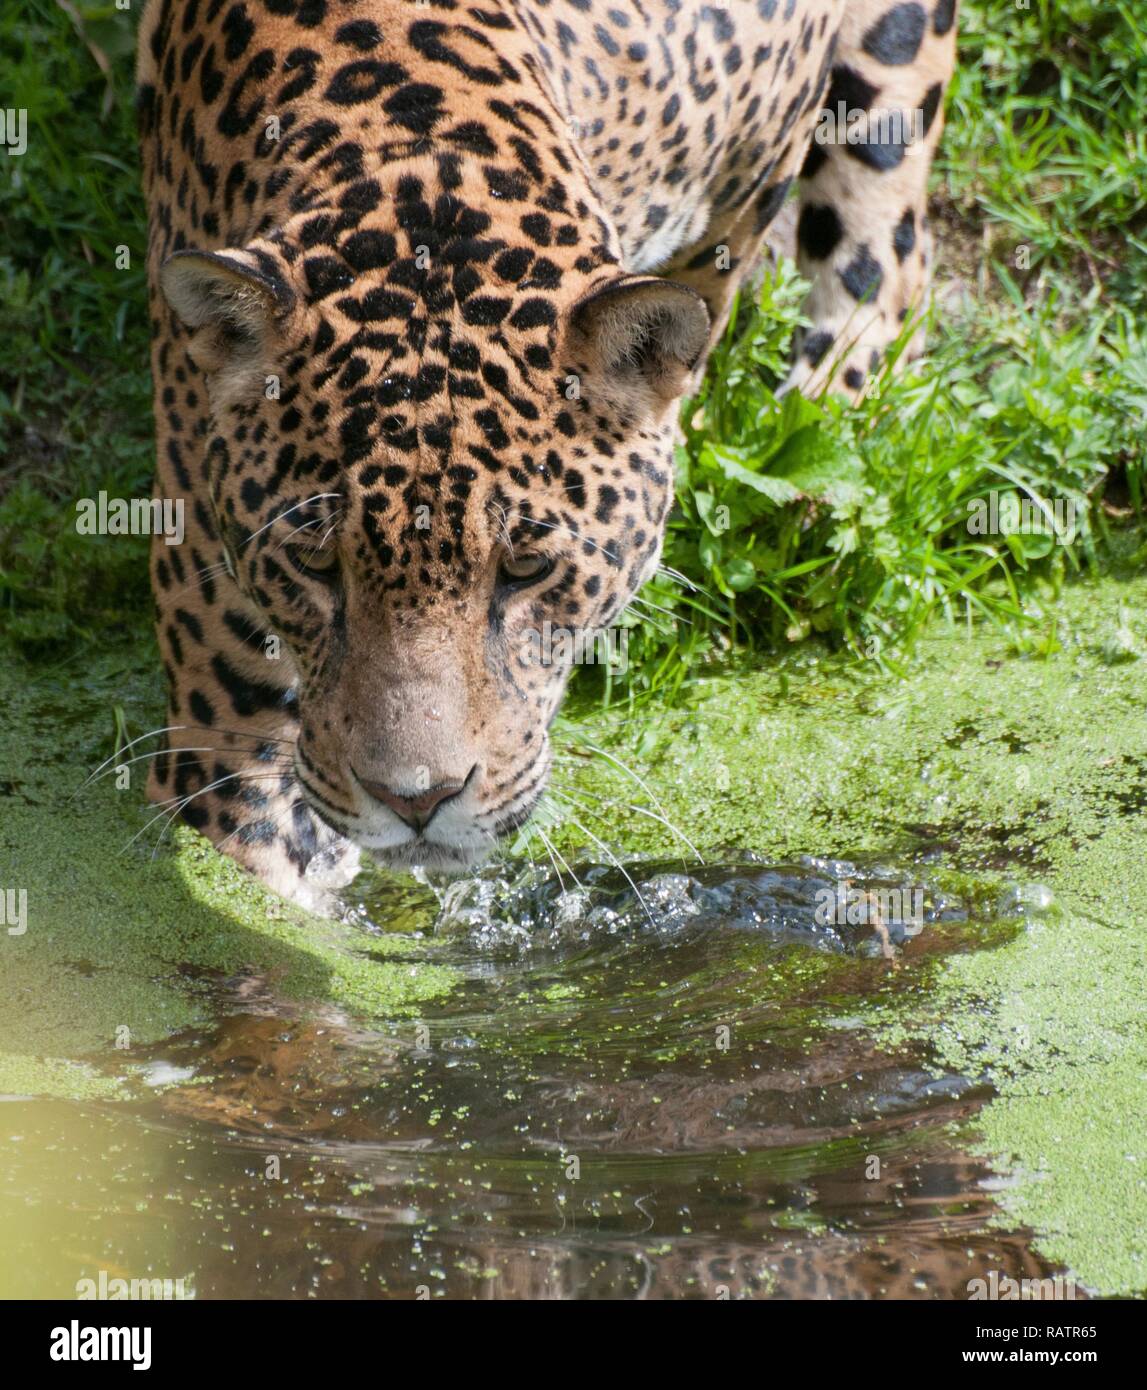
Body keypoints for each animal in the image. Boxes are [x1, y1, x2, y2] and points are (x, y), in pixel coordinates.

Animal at [136, 0, 958, 909]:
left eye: (526, 569)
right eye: (314, 564)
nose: (415, 799)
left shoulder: (753, 163)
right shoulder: (228, 739)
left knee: (887, 248)